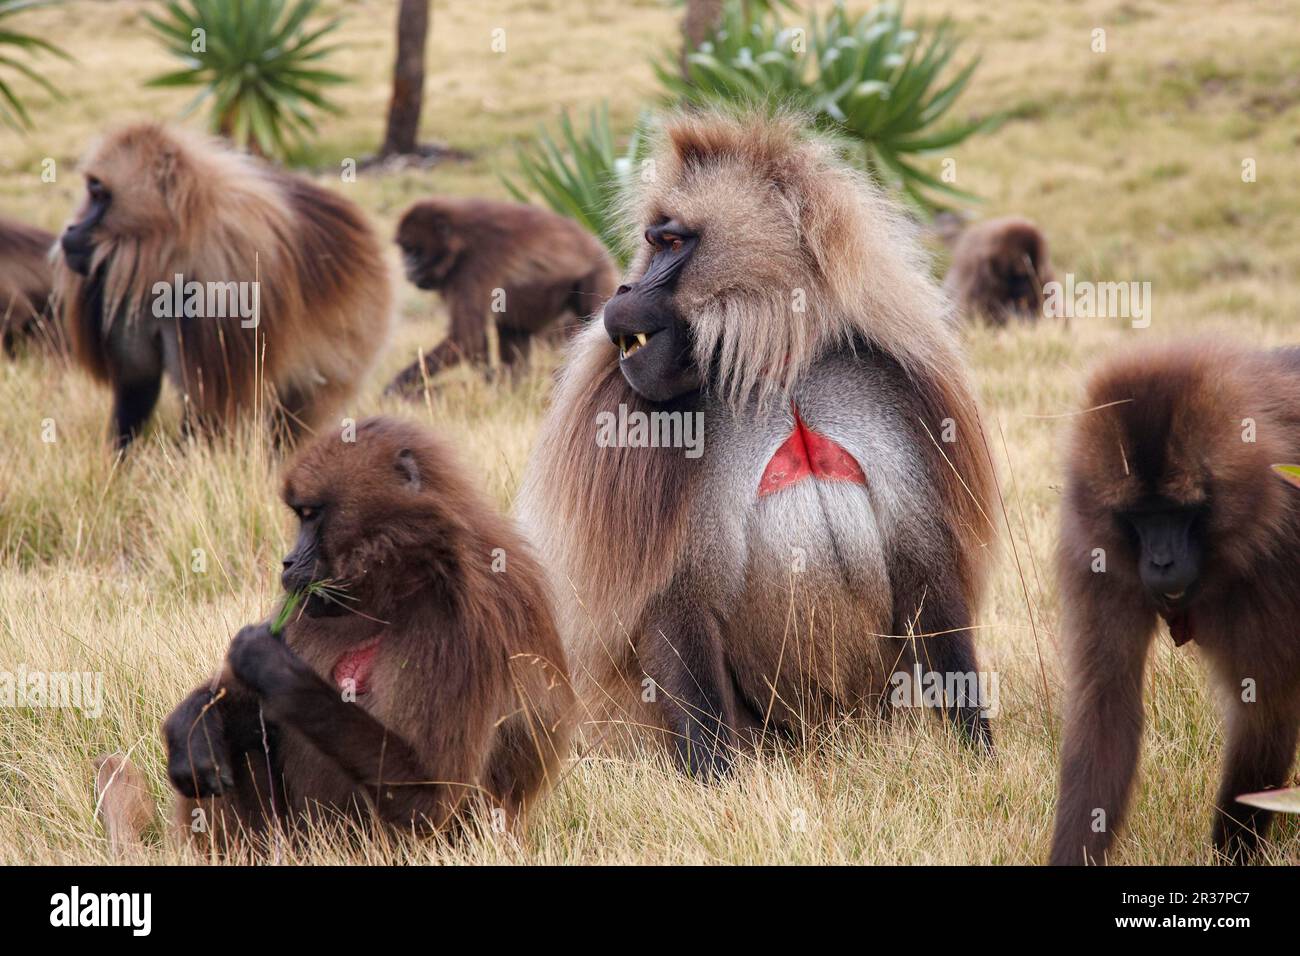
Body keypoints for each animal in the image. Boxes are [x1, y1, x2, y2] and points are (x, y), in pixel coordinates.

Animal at [52, 123, 393, 449]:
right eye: (92, 192)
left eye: (100, 196)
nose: (70, 230)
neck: (168, 255)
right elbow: (137, 387)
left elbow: (208, 408)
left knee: (295, 420)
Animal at [95, 417, 574, 852]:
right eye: (299, 516)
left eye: (311, 515)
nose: (288, 563)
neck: (402, 576)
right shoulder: (311, 607)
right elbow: (233, 712)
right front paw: (190, 726)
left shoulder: (462, 620)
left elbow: (433, 800)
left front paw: (267, 663)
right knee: (236, 741)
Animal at [385, 197, 616, 395]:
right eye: (405, 251)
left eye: (414, 252)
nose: (407, 268)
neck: (460, 240)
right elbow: (476, 340)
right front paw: (490, 385)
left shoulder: (474, 264)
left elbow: (467, 339)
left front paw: (394, 387)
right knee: (512, 325)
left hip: (596, 274)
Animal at [516, 112, 999, 778]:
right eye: (653, 241)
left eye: (673, 244)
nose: (620, 293)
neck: (777, 365)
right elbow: (675, 609)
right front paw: (719, 787)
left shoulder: (897, 392)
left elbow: (928, 573)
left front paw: (978, 757)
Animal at [1050, 341, 1300, 865]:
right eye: (1140, 517)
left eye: (1179, 512)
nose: (1162, 563)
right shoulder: (1097, 558)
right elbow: (1106, 709)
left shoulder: (1282, 554)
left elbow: (1264, 712)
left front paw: (1233, 852)